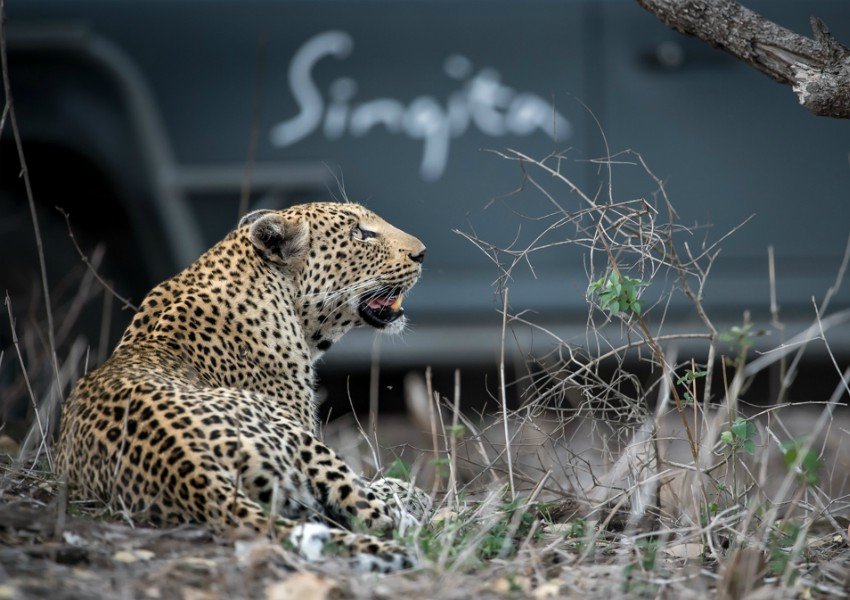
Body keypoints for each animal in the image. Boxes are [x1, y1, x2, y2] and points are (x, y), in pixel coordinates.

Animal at [56, 201, 431, 572]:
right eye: (359, 233)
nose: (423, 253)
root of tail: (189, 467)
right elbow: (385, 489)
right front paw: (412, 491)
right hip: (303, 443)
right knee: (380, 516)